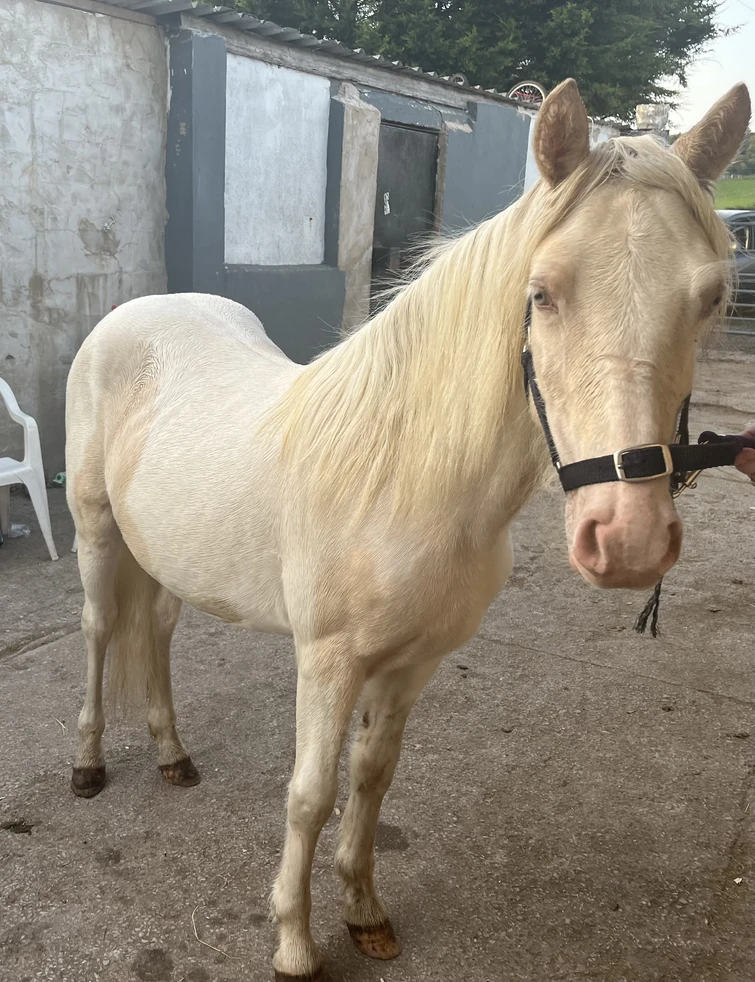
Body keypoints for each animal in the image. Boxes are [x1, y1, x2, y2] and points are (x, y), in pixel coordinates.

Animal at [65, 79, 750, 980]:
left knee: (157, 632)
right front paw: (294, 942)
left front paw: (364, 915)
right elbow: (310, 794)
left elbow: (373, 778)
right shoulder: (327, 662)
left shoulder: (413, 661)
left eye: (706, 299)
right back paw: (87, 765)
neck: (405, 479)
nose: (627, 537)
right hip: (96, 534)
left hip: (168, 558)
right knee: (102, 631)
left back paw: (173, 755)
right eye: (541, 293)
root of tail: (137, 313)